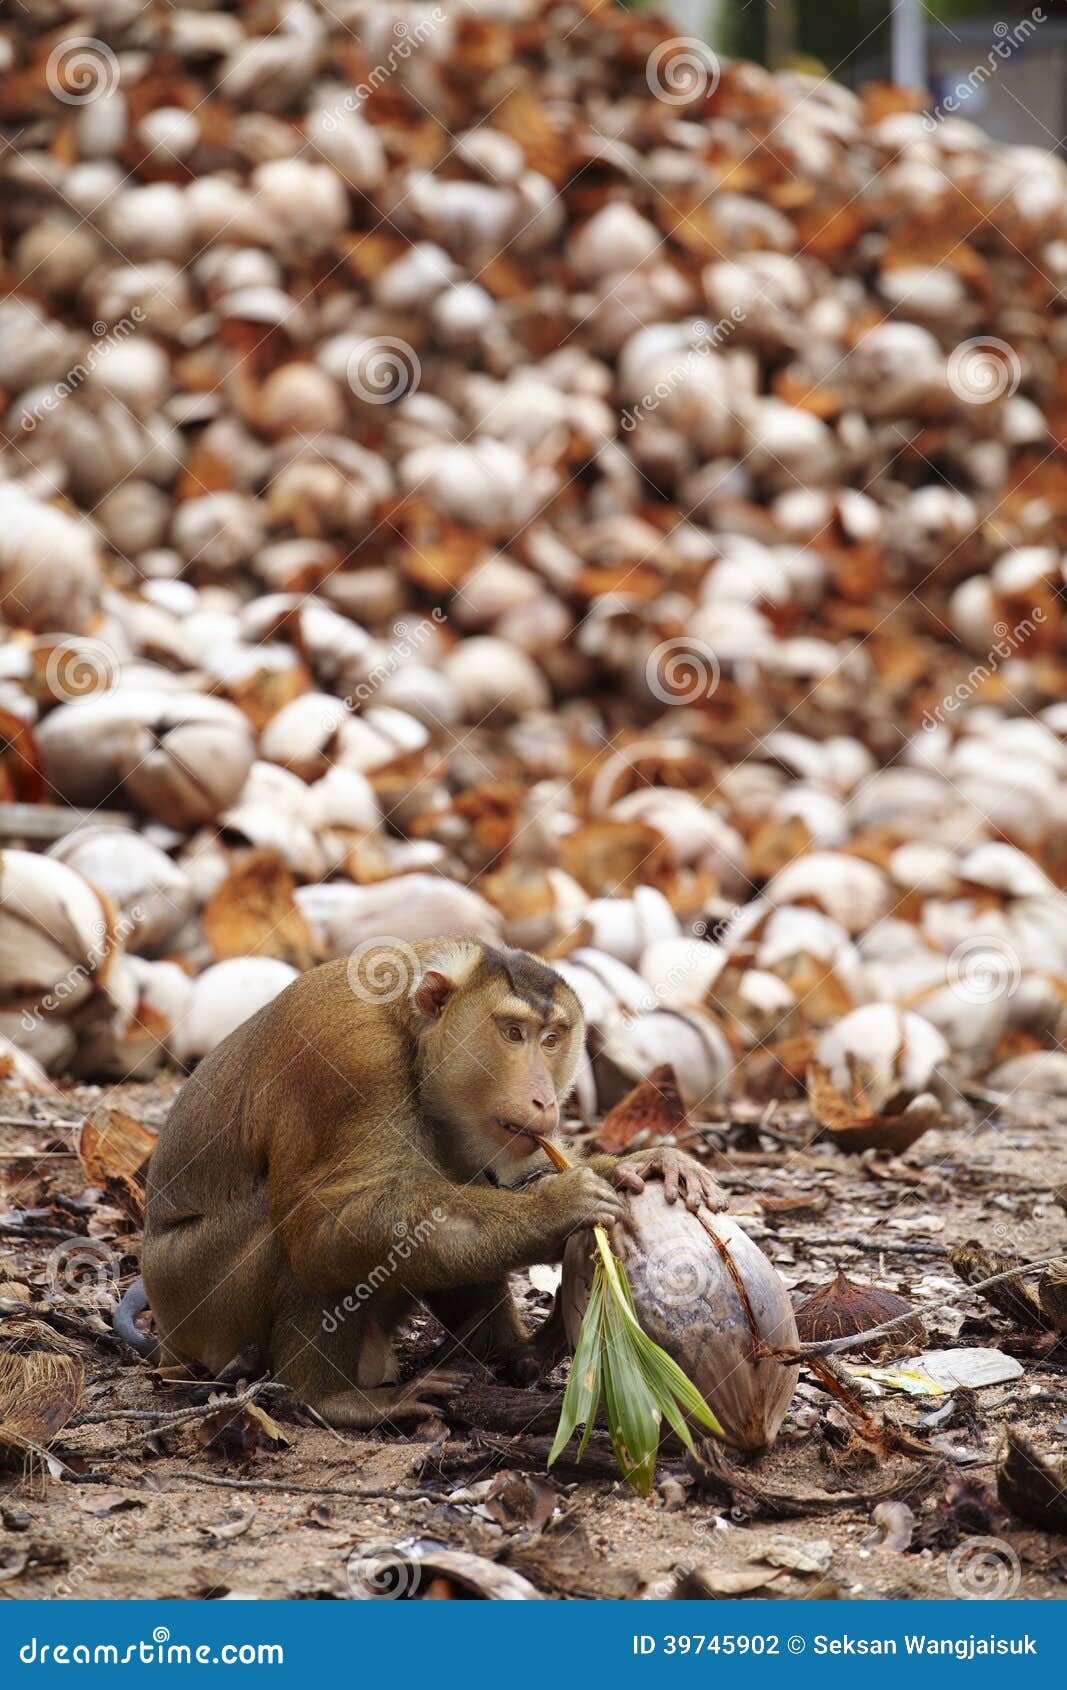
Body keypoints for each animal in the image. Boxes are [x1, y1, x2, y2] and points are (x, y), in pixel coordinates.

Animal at [139, 938, 726, 1428]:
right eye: (512, 1033)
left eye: (551, 1038)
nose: (545, 1099)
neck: (408, 1028)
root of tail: (168, 1337)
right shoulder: (350, 1057)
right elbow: (326, 1226)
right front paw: (558, 1209)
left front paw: (643, 1163)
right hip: (206, 1304)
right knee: (303, 1244)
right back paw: (332, 1399)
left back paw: (521, 1355)